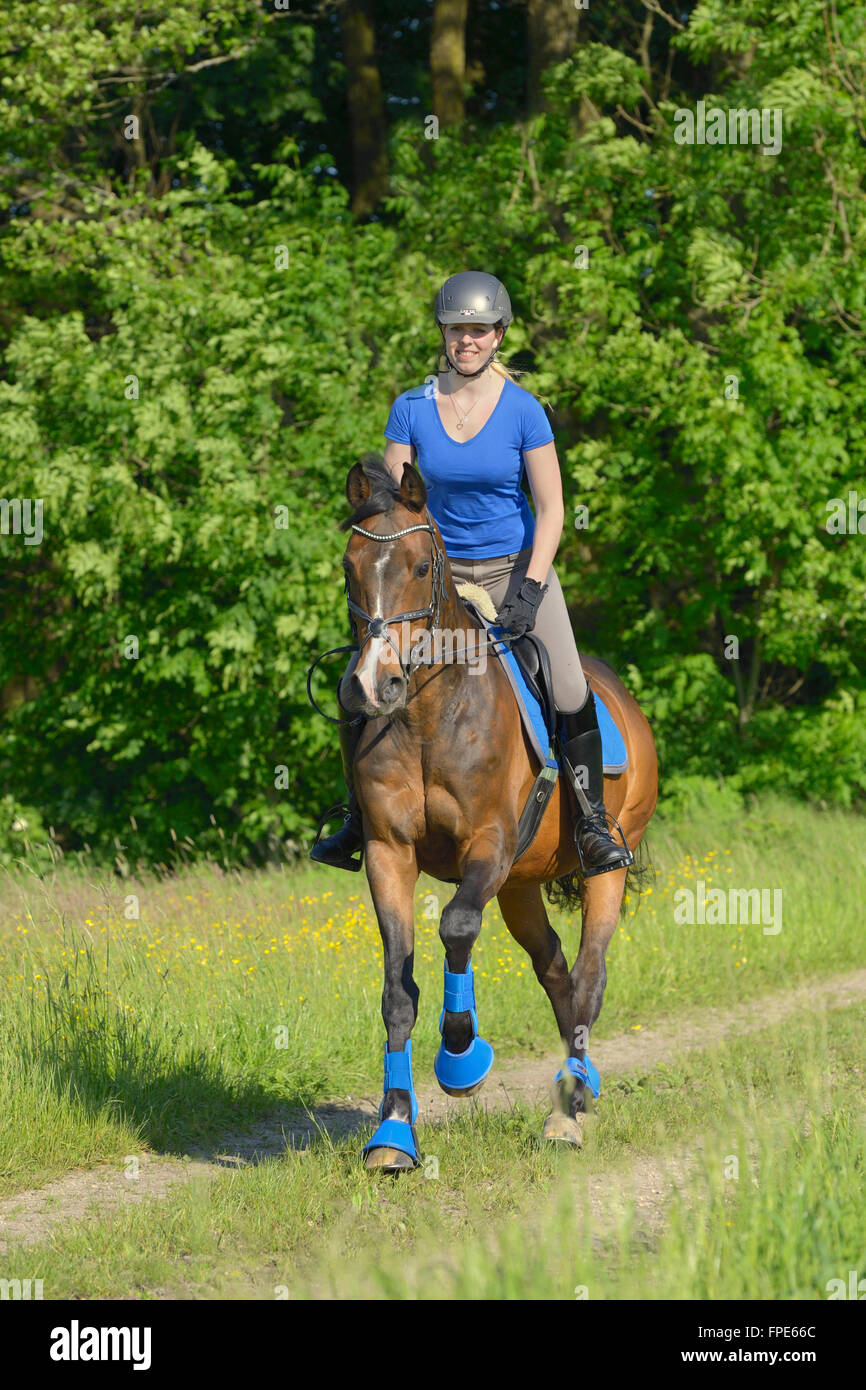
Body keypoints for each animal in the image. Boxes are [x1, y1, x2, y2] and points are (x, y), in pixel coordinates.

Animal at [325, 454, 658, 1171]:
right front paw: (393, 1133)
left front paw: (461, 1057)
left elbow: (454, 926)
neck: (427, 715)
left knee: (590, 973)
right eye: (348, 566)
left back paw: (568, 1114)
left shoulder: (490, 843)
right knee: (557, 972)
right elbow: (398, 990)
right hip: (520, 888)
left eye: (421, 566)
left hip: (603, 866)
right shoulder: (391, 854)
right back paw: (576, 1089)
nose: (371, 686)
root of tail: (621, 695)